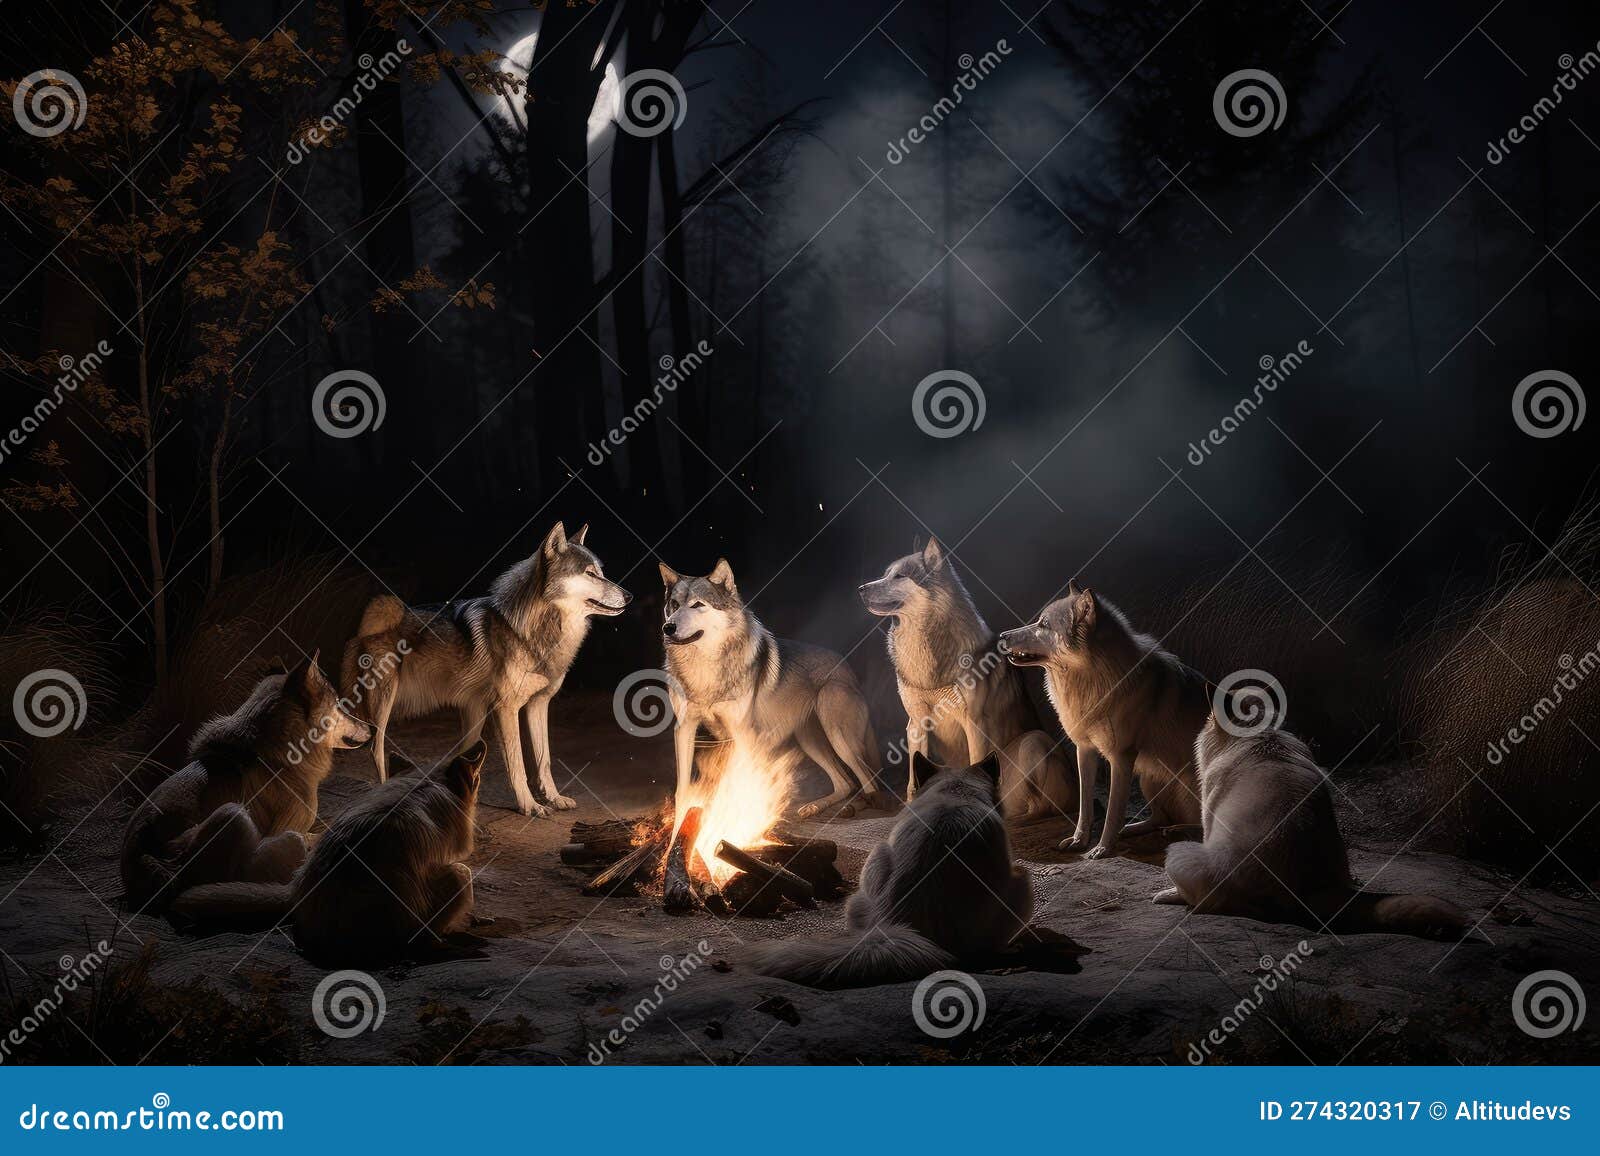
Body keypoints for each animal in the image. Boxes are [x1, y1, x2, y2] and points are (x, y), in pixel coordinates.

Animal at [172, 742, 486, 963]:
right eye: (477, 774)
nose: (481, 744)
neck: (424, 783)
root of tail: (297, 895)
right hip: (457, 878)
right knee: (422, 938)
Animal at [343, 521, 630, 817]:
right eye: (590, 574)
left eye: (602, 573)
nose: (629, 596)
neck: (537, 630)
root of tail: (364, 631)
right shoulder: (506, 709)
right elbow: (517, 764)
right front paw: (530, 805)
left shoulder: (538, 704)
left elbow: (544, 760)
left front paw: (554, 798)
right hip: (384, 708)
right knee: (375, 752)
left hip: (472, 714)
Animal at [658, 558, 887, 819]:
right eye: (674, 604)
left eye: (697, 605)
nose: (668, 627)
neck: (704, 669)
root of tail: (848, 669)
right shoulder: (685, 727)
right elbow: (683, 789)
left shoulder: (743, 734)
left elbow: (741, 787)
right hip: (808, 741)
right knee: (845, 783)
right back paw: (815, 807)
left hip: (836, 732)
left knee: (869, 782)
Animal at [859, 537, 1074, 821]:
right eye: (885, 574)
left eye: (899, 576)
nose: (861, 589)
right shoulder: (916, 722)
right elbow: (914, 776)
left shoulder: (974, 722)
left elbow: (975, 762)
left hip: (1034, 740)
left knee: (1041, 807)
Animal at [1000, 586, 1205, 857]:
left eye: (1043, 624)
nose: (1002, 635)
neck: (1093, 681)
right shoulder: (1084, 750)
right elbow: (1085, 806)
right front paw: (1079, 841)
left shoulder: (1120, 759)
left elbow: (1113, 810)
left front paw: (1102, 849)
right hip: (1149, 779)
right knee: (1159, 818)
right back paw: (1136, 829)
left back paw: (1179, 830)